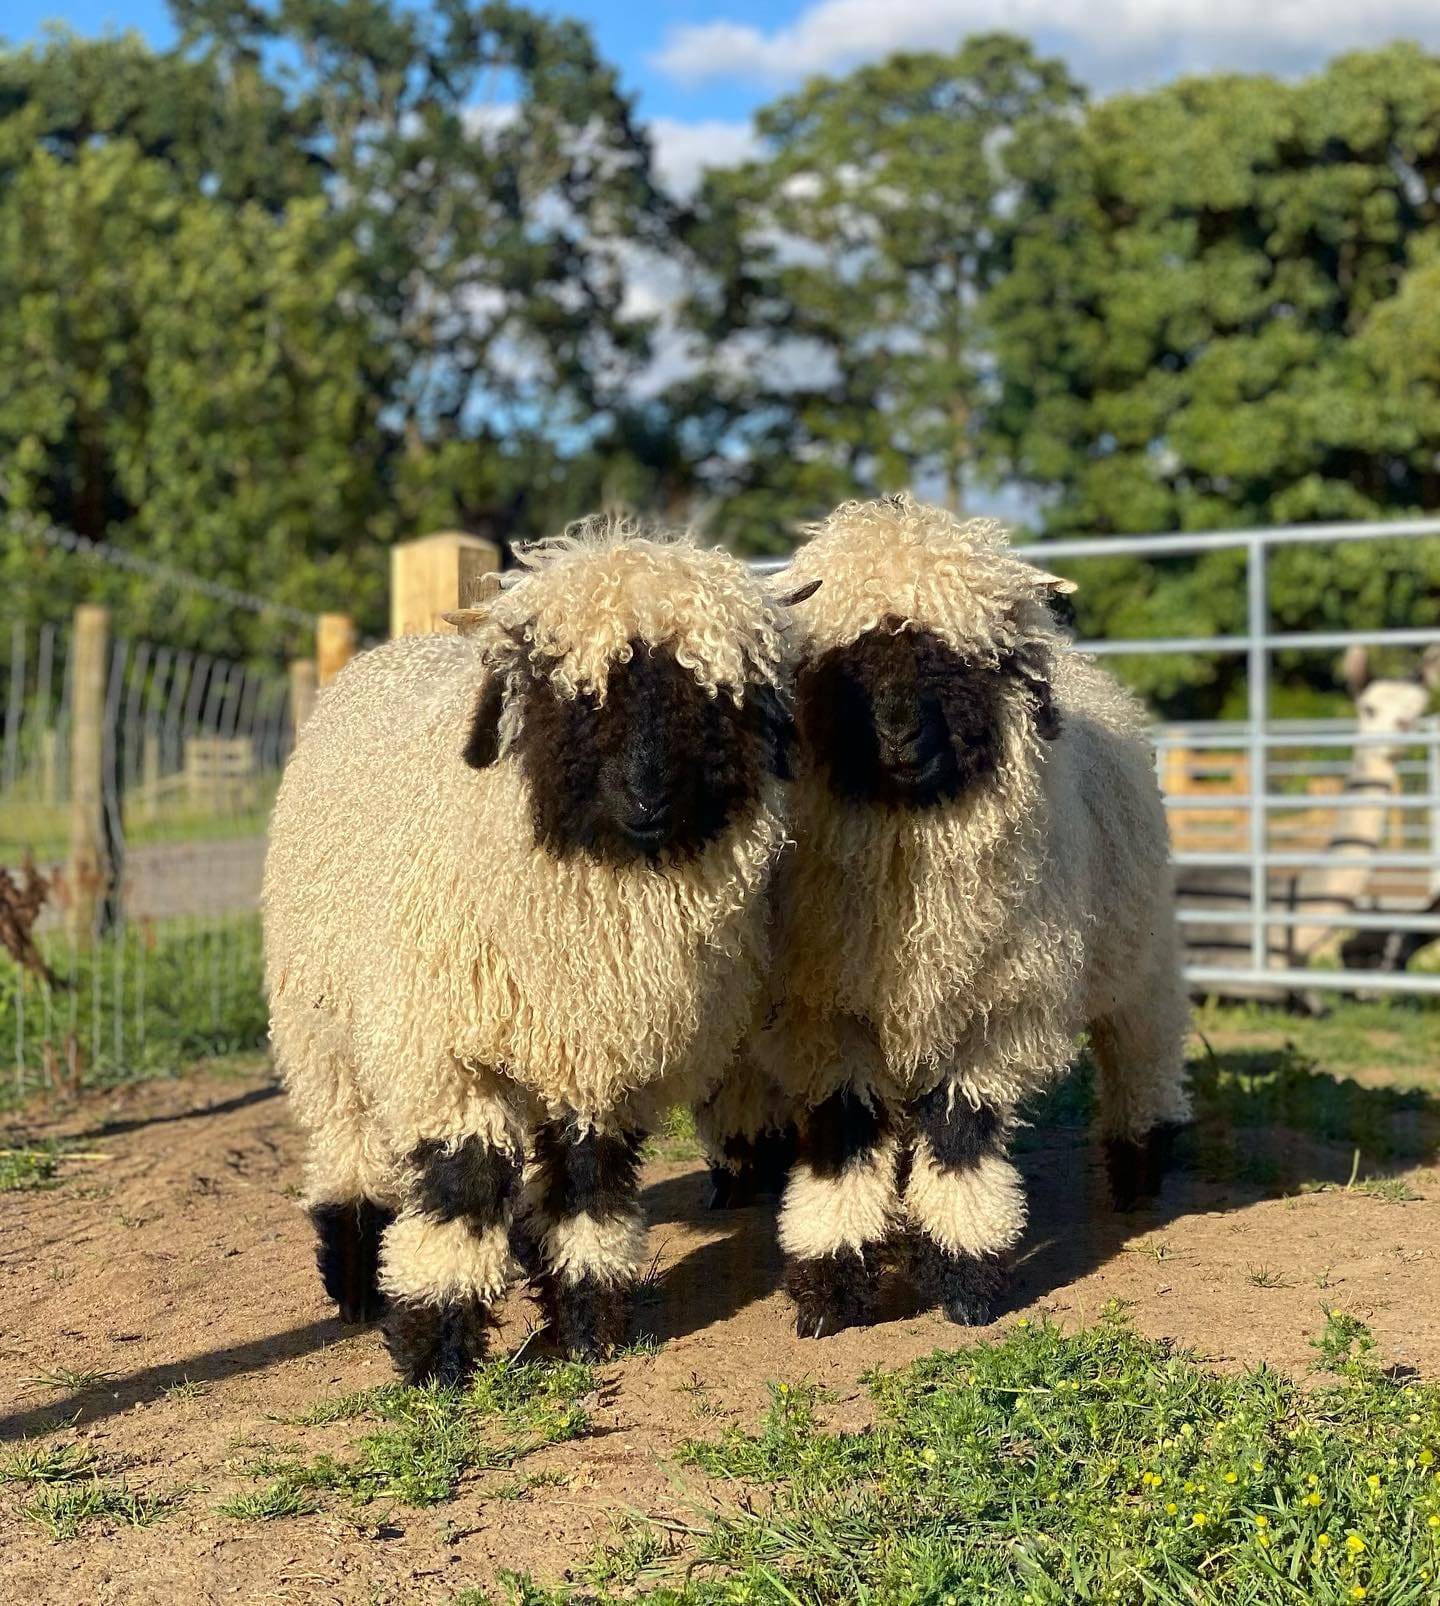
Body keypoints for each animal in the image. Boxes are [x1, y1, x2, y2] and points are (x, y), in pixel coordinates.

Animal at [263, 520, 808, 1380]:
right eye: (572, 694)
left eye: (714, 696)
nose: (647, 796)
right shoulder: (442, 1050)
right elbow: (460, 1185)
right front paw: (438, 1352)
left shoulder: (596, 1056)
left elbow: (587, 1182)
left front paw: (583, 1325)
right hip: (319, 1017)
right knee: (346, 1136)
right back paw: (354, 1277)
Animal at [707, 495, 1191, 1337]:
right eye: (845, 660)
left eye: (962, 661)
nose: (899, 731)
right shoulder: (825, 1011)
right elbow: (844, 1136)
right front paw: (830, 1282)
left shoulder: (998, 1012)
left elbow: (962, 1138)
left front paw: (966, 1278)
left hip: (1141, 949)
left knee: (1142, 1046)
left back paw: (1140, 1166)